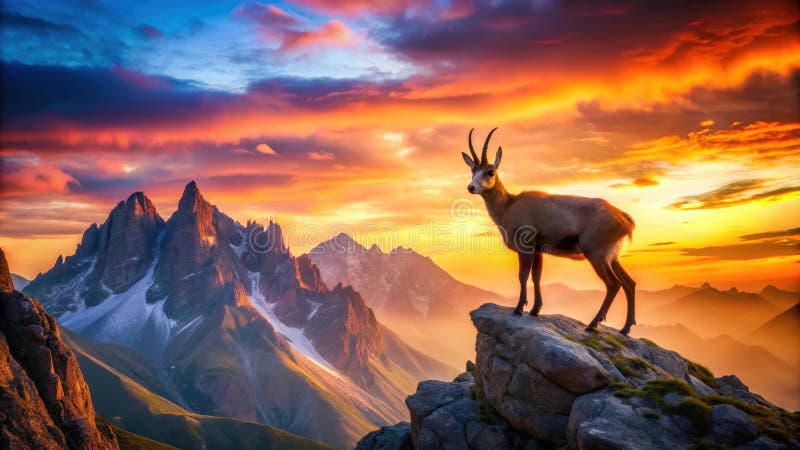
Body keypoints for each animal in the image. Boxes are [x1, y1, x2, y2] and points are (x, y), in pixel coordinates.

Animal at [461, 128, 637, 334]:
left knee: (613, 284)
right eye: (473, 170)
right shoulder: (538, 251)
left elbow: (523, 276)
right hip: (612, 257)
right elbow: (537, 277)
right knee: (629, 283)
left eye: (490, 171)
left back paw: (593, 324)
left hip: (596, 255)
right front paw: (535, 310)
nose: (471, 187)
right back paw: (624, 329)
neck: (509, 206)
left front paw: (518, 309)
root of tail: (624, 219)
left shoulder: (526, 250)